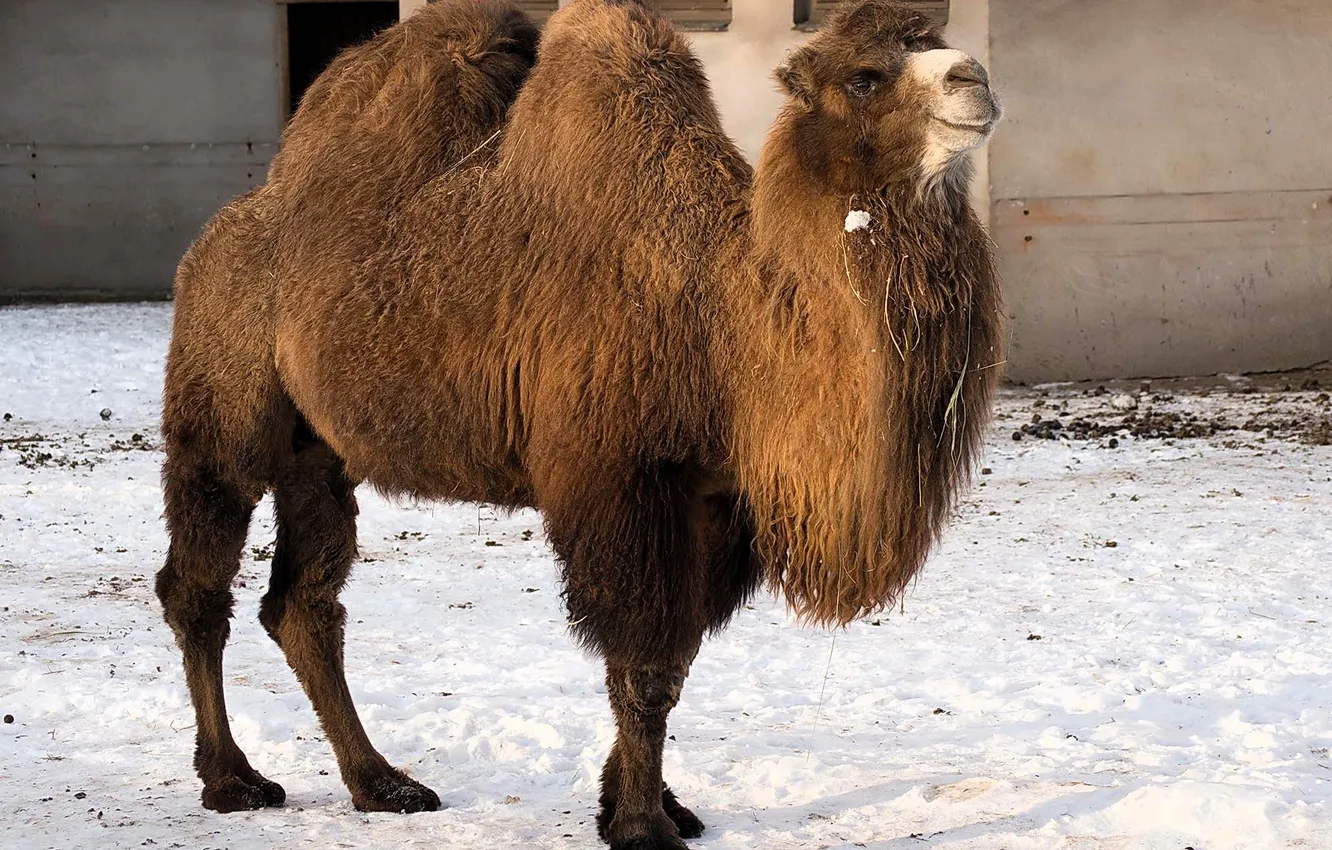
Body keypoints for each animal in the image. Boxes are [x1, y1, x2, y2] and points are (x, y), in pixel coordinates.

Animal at [154, 0, 1003, 847]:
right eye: (864, 77)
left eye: (935, 45)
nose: (976, 80)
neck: (724, 319)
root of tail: (216, 235)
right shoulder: (619, 482)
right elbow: (644, 665)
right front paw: (641, 824)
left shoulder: (714, 499)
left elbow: (676, 657)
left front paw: (646, 805)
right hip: (222, 405)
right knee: (198, 578)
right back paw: (233, 780)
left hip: (319, 451)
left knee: (304, 604)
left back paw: (383, 784)